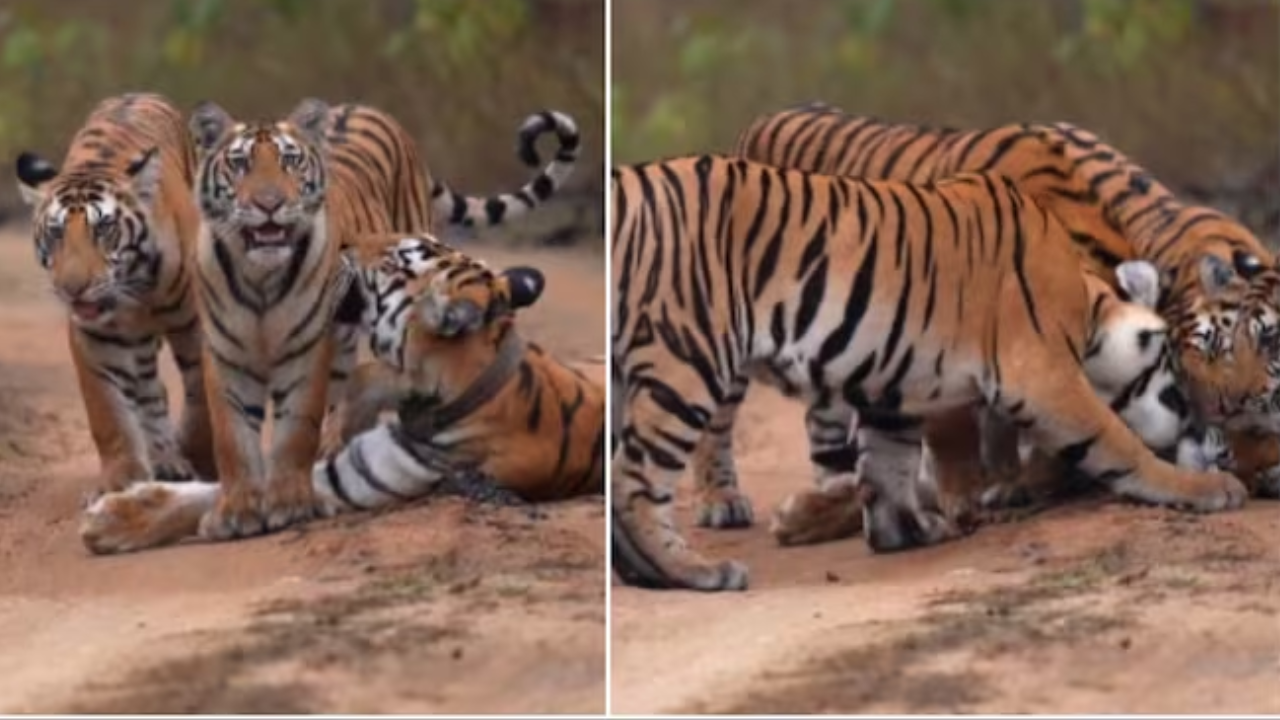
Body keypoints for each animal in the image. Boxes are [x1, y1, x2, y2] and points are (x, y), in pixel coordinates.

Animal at [13, 92, 214, 491]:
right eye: (56, 232)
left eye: (103, 229)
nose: (72, 288)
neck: (132, 289)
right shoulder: (97, 337)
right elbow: (108, 413)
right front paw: (122, 481)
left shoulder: (195, 324)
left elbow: (202, 399)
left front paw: (203, 462)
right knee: (151, 392)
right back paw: (165, 461)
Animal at [186, 98, 580, 541]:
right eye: (240, 164)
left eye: (289, 161)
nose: (268, 204)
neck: (261, 279)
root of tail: (362, 107)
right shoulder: (224, 354)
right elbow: (232, 437)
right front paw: (236, 513)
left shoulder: (309, 351)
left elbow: (296, 431)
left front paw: (290, 505)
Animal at [610, 155, 1248, 591]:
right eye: (1178, 379)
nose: (1209, 434)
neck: (1087, 304)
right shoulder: (1042, 376)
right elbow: (1119, 444)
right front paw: (1208, 489)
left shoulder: (888, 391)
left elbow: (885, 470)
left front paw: (908, 533)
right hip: (686, 359)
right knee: (634, 481)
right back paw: (695, 572)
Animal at [726, 103, 1280, 510]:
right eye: (1190, 362)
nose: (1214, 420)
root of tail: (761, 120)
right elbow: (957, 424)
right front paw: (970, 493)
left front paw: (1013, 479)